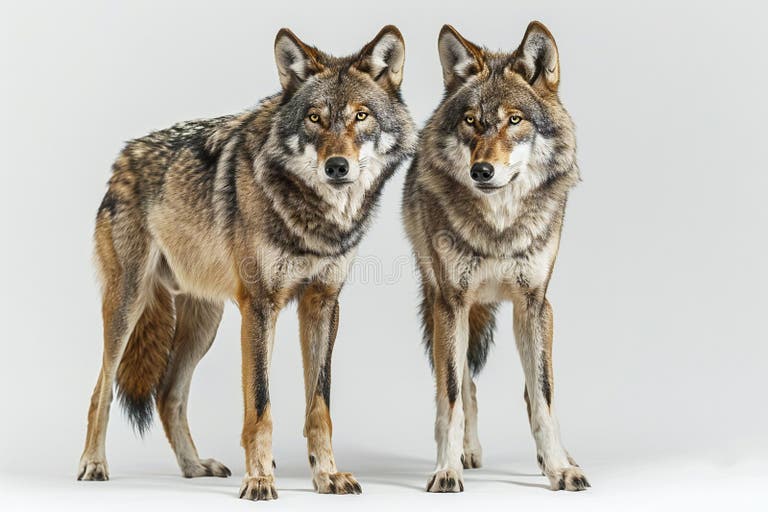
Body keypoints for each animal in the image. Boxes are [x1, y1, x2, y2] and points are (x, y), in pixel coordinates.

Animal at [77, 26, 416, 500]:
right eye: (314, 118)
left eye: (361, 116)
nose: (336, 167)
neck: (314, 218)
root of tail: (123, 157)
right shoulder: (259, 306)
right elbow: (260, 406)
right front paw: (259, 479)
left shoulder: (323, 303)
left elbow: (319, 407)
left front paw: (327, 475)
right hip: (129, 306)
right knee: (101, 389)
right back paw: (93, 464)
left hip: (206, 323)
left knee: (169, 394)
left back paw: (193, 466)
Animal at [402, 21, 589, 493]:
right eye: (471, 121)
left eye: (515, 120)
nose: (481, 171)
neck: (499, 230)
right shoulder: (452, 303)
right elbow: (452, 397)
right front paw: (446, 469)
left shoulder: (535, 303)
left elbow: (542, 397)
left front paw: (558, 467)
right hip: (442, 309)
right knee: (459, 386)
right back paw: (465, 453)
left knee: (532, 389)